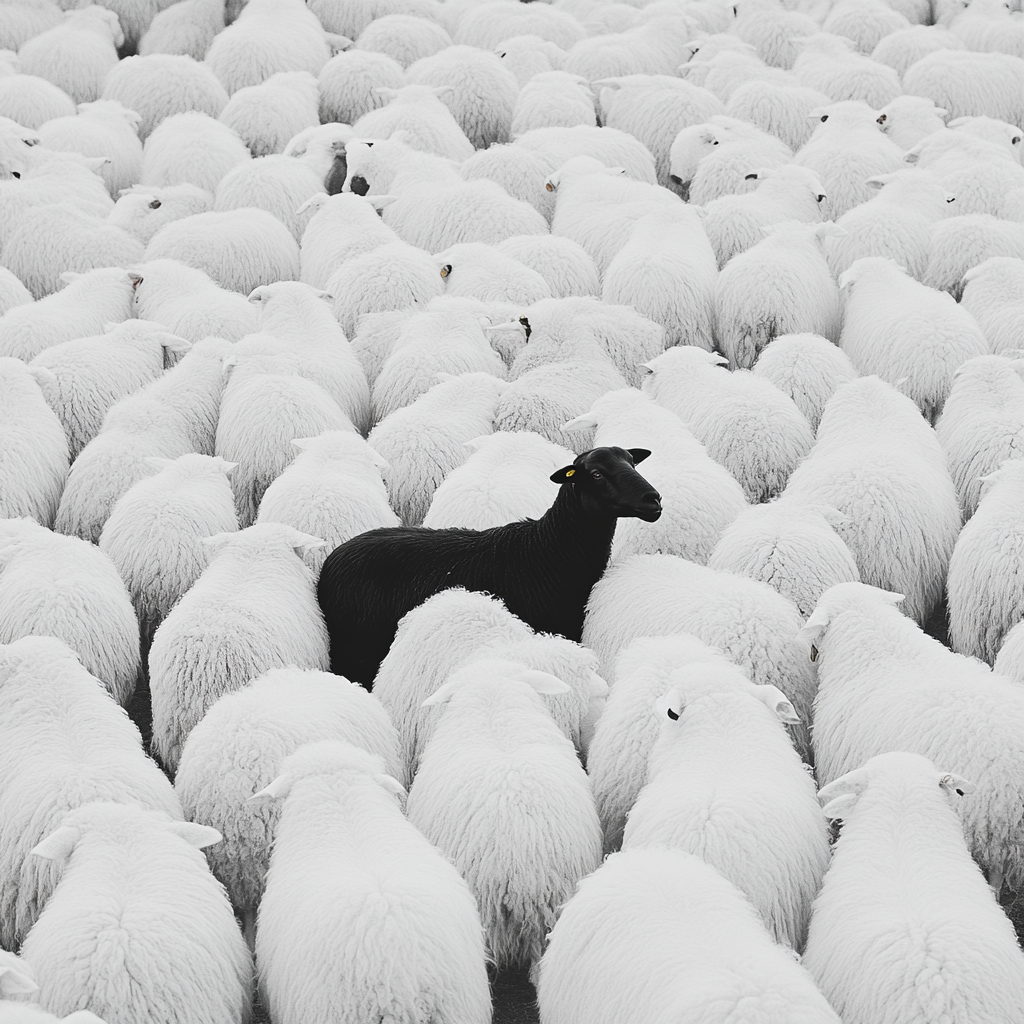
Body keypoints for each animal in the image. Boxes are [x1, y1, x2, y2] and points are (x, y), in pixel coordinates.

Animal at [319, 446, 660, 687]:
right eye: (596, 474)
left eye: (632, 462)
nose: (653, 499)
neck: (551, 548)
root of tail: (332, 562)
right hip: (355, 650)